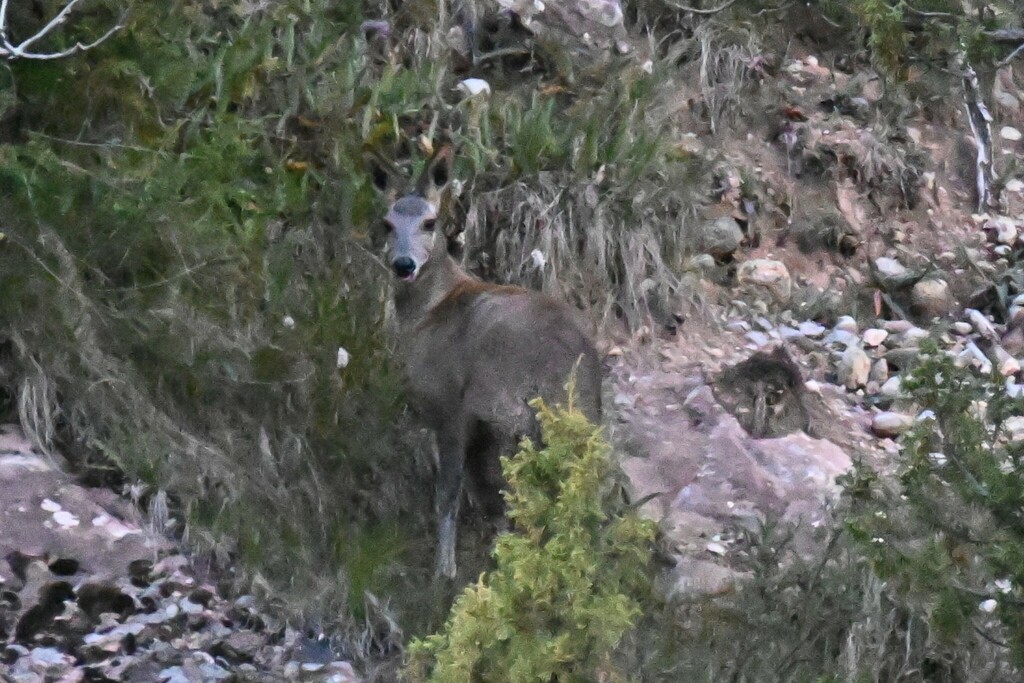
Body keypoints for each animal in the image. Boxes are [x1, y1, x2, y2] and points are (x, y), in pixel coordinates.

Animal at [372, 144, 602, 580]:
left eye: (430, 222)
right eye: (386, 223)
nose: (403, 265)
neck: (429, 312)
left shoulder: (449, 404)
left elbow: (450, 491)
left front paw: (444, 571)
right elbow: (478, 495)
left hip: (509, 412)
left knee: (523, 502)